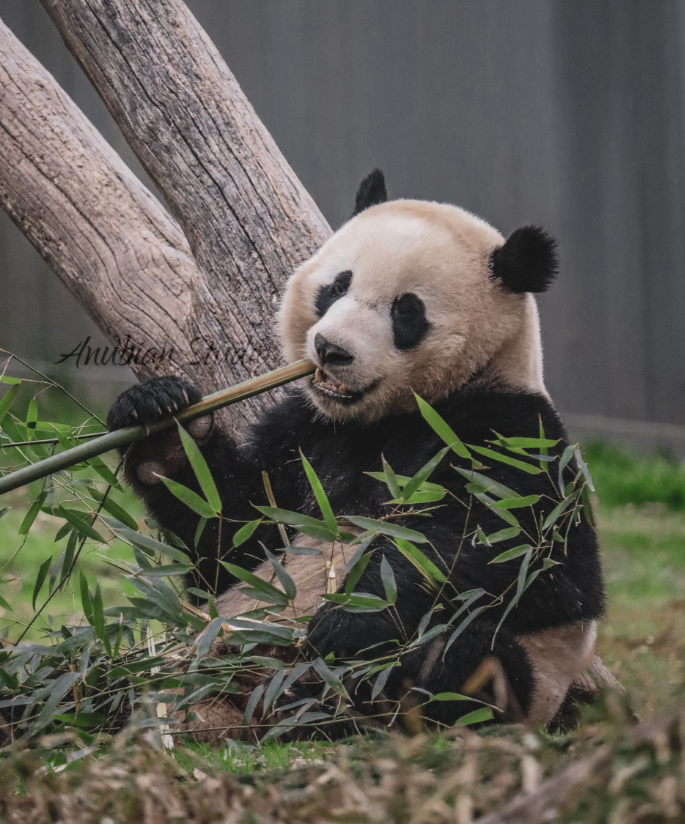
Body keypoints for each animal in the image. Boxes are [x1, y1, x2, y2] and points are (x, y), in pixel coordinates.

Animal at [107, 170, 605, 732]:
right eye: (337, 286)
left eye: (406, 311)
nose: (331, 350)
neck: (386, 417)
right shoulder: (305, 434)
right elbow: (232, 538)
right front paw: (159, 423)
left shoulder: (512, 437)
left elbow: (525, 560)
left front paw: (350, 616)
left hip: (529, 679)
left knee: (468, 653)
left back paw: (333, 702)